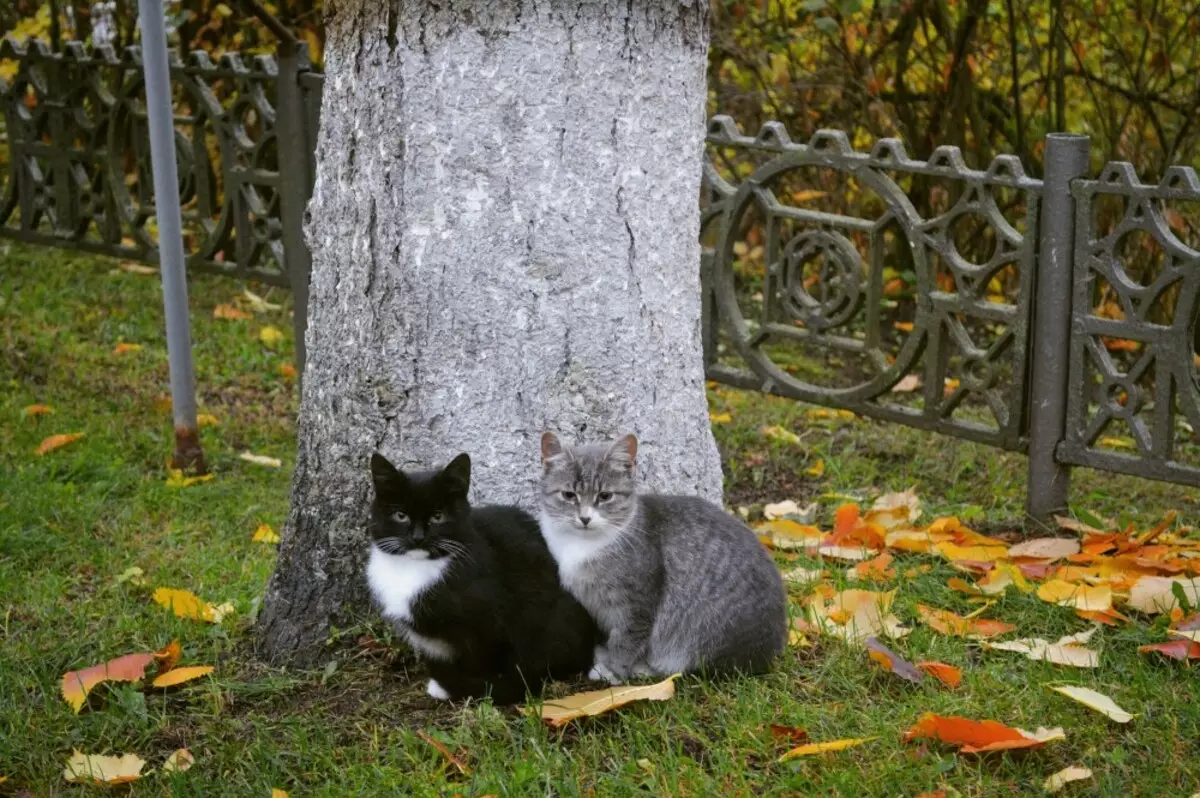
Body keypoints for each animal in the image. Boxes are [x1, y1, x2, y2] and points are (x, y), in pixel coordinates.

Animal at [360, 451, 595, 700]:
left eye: (438, 516)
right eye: (400, 515)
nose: (418, 537)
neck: (414, 567)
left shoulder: (487, 618)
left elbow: (484, 661)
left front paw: (468, 688)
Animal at [537, 432, 787, 681]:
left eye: (605, 496)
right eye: (569, 495)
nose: (585, 518)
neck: (582, 545)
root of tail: (771, 648)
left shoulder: (638, 604)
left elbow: (626, 641)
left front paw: (614, 671)